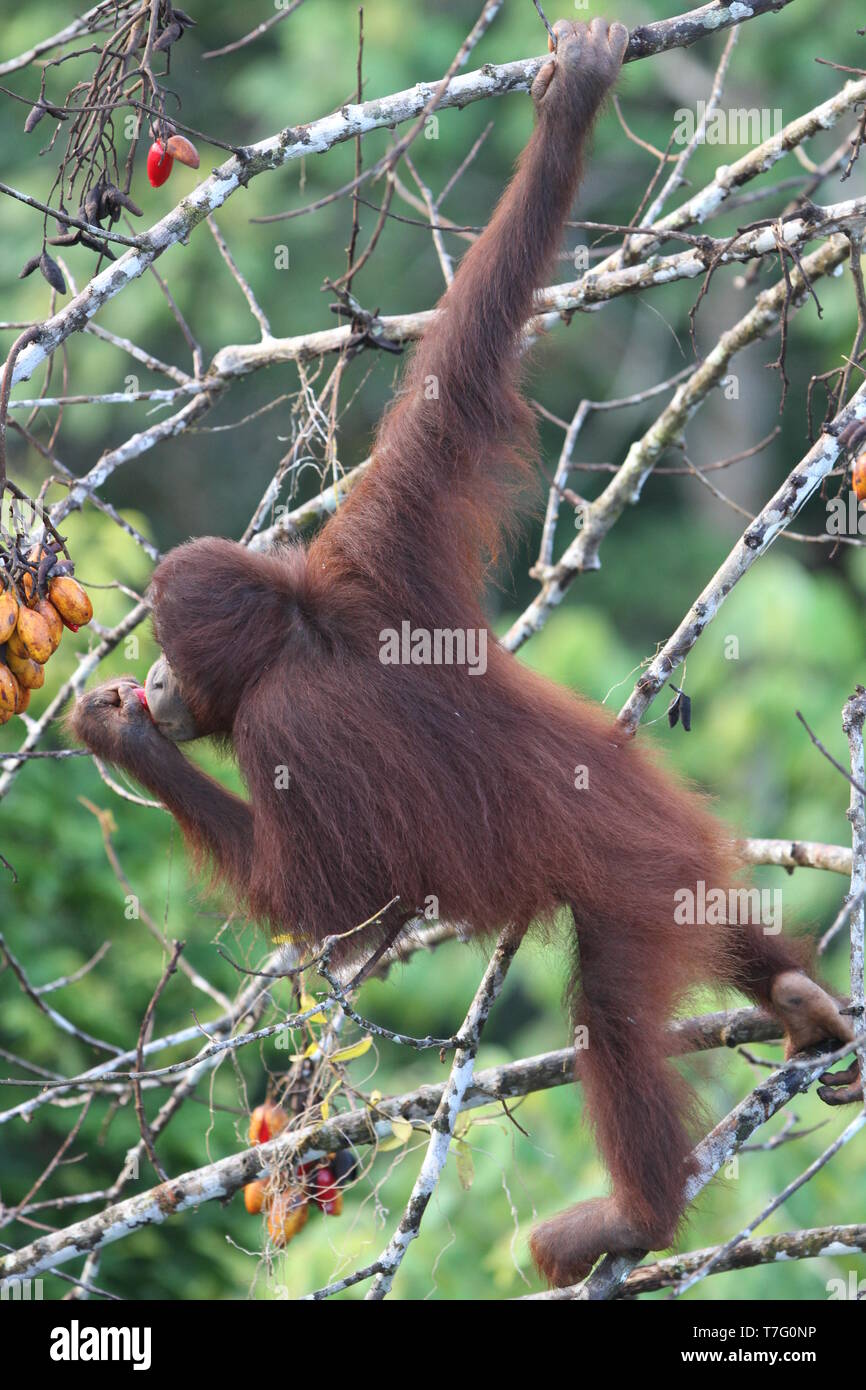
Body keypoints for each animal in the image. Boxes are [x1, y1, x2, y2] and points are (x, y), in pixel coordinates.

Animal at [70, 18, 859, 1287]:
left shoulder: (293, 716)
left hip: (630, 883)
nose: (148, 684)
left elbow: (327, 904)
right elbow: (465, 355)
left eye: (173, 662)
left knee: (608, 1010)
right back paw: (795, 999)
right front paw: (571, 108)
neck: (299, 625)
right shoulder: (378, 543)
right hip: (679, 829)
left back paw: (633, 1219)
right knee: (722, 925)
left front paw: (120, 738)